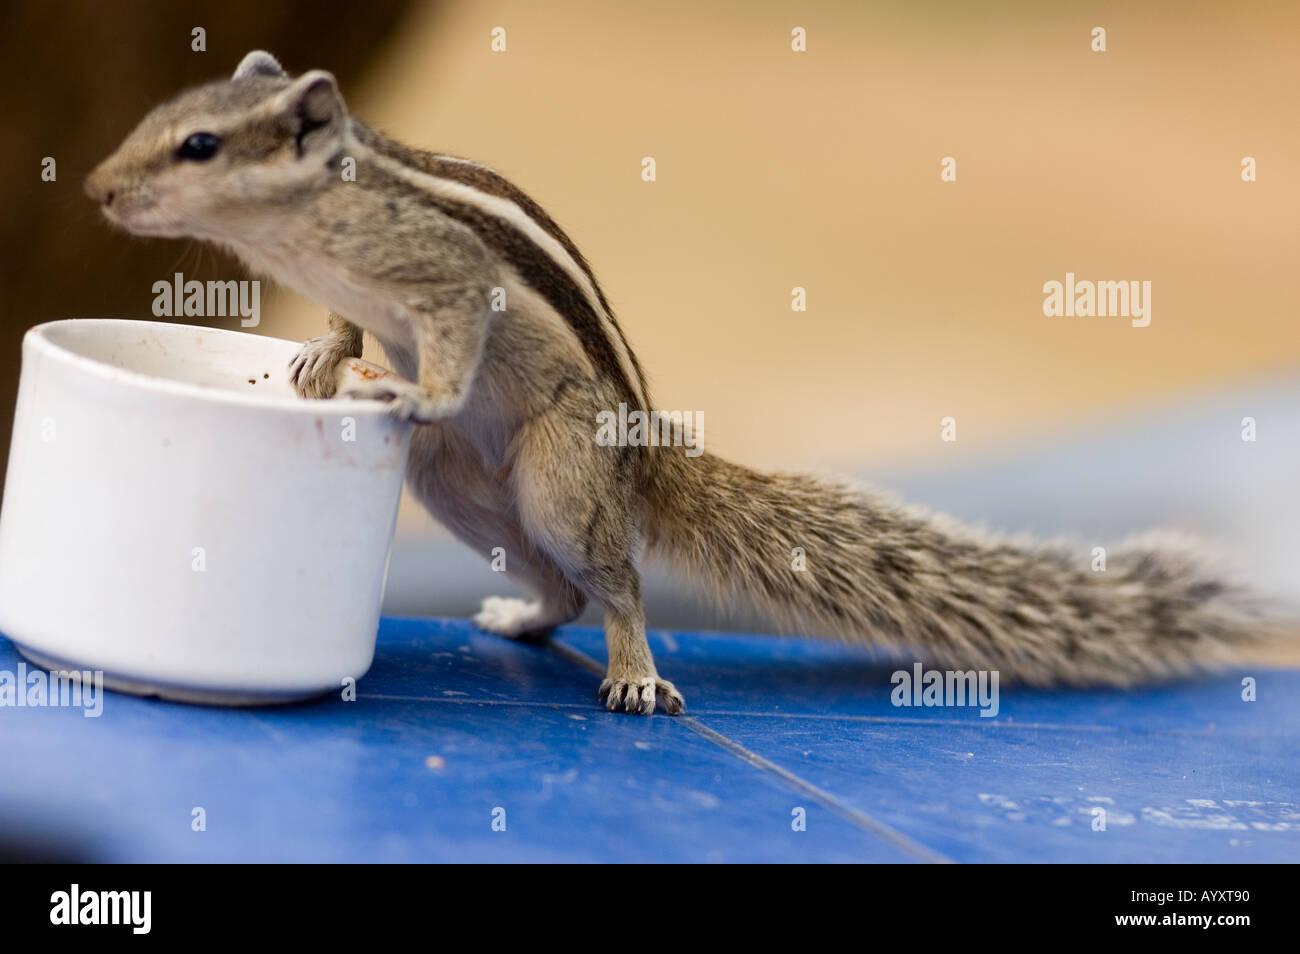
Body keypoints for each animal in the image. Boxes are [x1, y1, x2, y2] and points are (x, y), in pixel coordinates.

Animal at [84, 51, 1290, 714]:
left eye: (199, 146)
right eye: (157, 119)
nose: (94, 188)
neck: (317, 210)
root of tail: (645, 452)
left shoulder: (444, 275)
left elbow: (452, 333)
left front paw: (408, 387)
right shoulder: (363, 288)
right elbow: (344, 320)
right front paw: (327, 356)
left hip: (561, 474)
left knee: (616, 583)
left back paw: (629, 671)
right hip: (462, 490)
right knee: (565, 585)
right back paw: (523, 618)